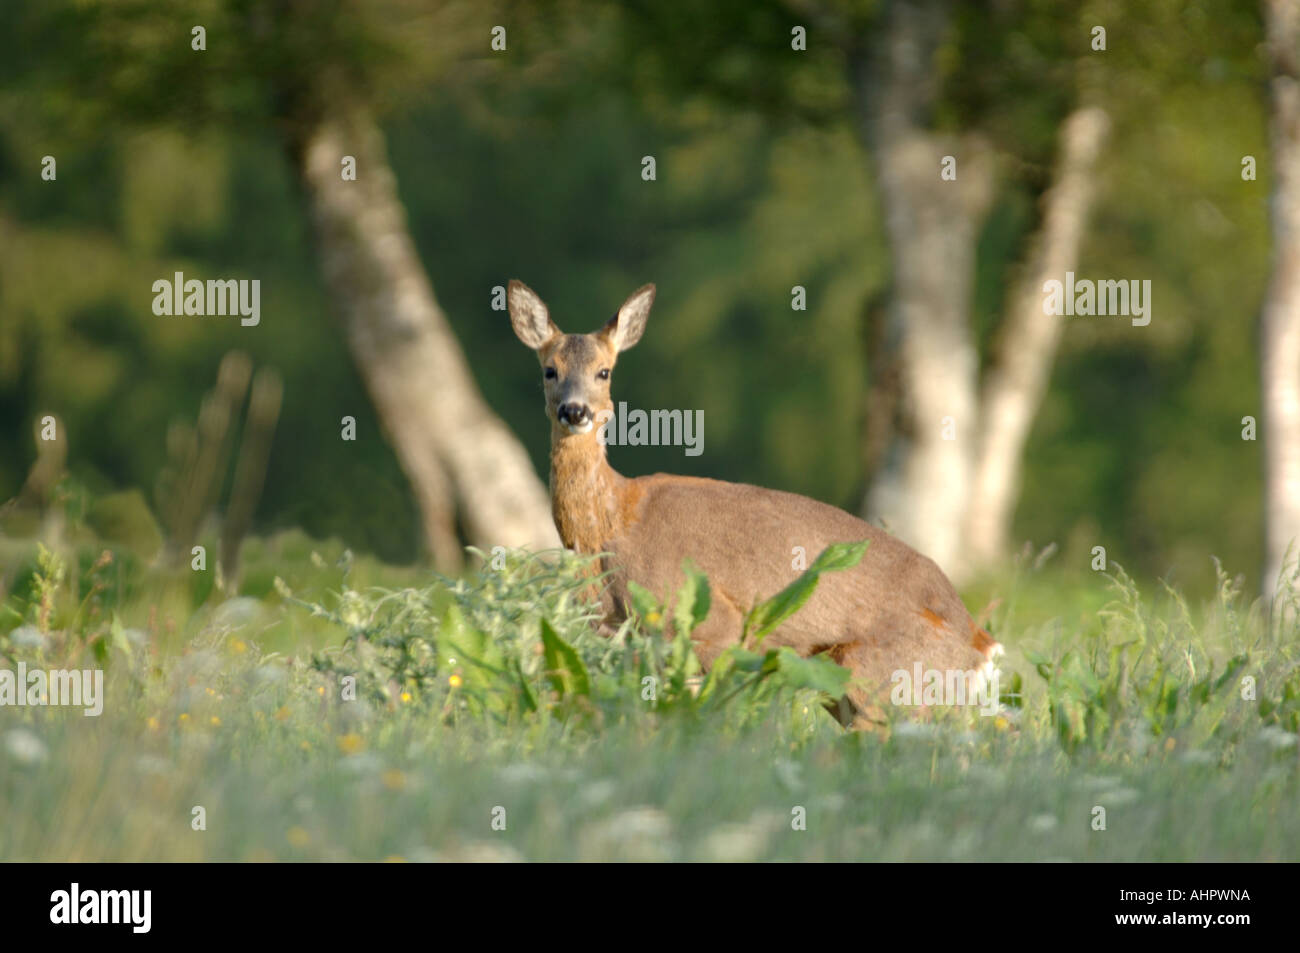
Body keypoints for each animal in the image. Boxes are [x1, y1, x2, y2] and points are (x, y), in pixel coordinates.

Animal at [508, 280, 1003, 727]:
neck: (610, 528)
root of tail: (980, 643)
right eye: (549, 369)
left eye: (604, 371)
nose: (575, 411)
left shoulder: (709, 624)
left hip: (884, 682)